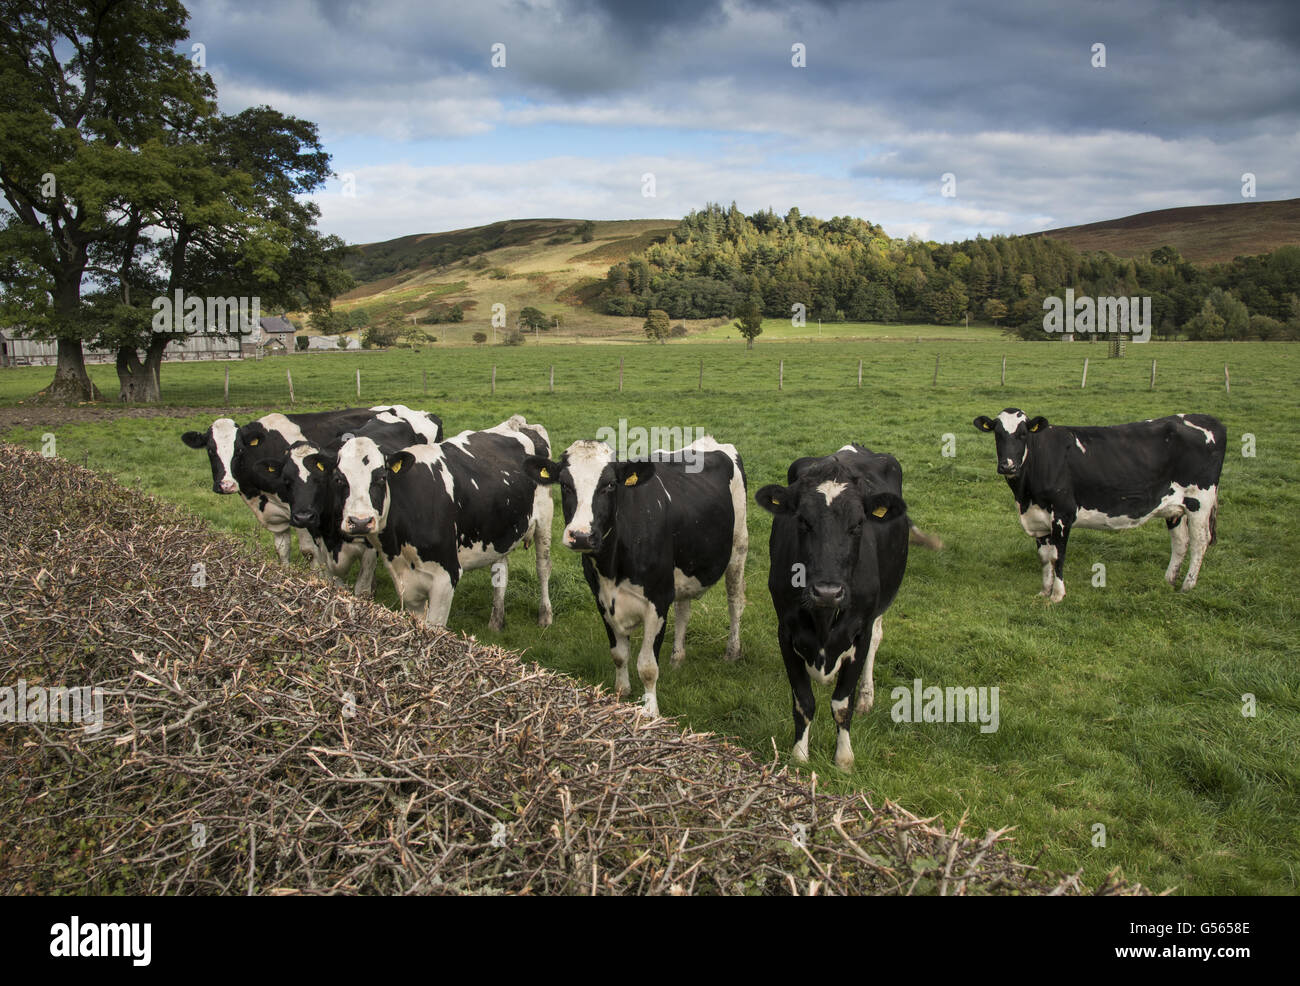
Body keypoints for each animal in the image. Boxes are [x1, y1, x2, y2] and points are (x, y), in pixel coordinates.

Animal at [333, 414, 553, 629]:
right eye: (339, 480)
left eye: (380, 477)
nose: (360, 521)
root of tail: (517, 423)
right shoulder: (406, 583)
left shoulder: (446, 577)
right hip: (500, 529)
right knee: (501, 570)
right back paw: (496, 621)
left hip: (544, 520)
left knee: (542, 567)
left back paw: (545, 616)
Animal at [524, 436, 747, 718]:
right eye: (564, 484)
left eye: (609, 485)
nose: (582, 536)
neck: (612, 568)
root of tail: (708, 441)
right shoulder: (601, 598)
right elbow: (619, 654)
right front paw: (622, 692)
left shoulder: (658, 599)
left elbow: (648, 666)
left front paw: (651, 712)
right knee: (683, 610)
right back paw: (677, 657)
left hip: (739, 547)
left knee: (735, 601)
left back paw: (733, 650)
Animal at [756, 444, 913, 771]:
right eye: (802, 521)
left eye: (858, 524)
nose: (827, 591)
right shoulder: (785, 631)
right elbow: (803, 701)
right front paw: (800, 755)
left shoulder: (859, 630)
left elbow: (842, 704)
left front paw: (843, 757)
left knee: (877, 640)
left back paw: (866, 696)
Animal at [973, 408, 1226, 602]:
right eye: (997, 434)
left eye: (1023, 433)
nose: (1008, 465)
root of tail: (1208, 418)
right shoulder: (1039, 518)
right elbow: (1045, 557)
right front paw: (1044, 591)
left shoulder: (1063, 515)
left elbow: (1058, 556)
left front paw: (1057, 595)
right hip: (1175, 507)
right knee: (1181, 542)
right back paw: (1168, 581)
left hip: (1199, 501)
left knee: (1199, 542)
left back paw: (1188, 586)